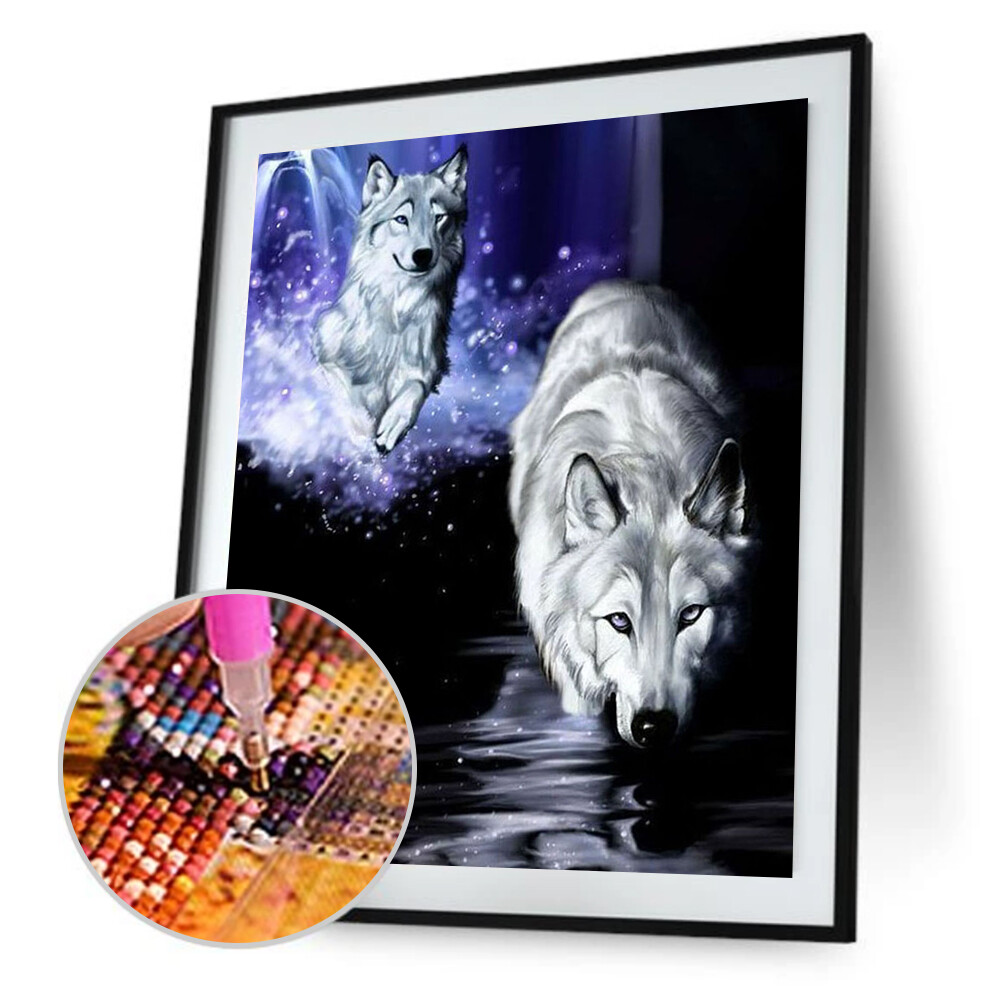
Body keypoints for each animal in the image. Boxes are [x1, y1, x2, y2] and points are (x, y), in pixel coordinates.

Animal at [313, 146, 468, 452]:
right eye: (401, 219)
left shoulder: (427, 365)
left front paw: (392, 424)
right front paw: (361, 426)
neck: (396, 306)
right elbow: (340, 387)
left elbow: (414, 387)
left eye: (438, 218)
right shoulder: (323, 352)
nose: (423, 255)